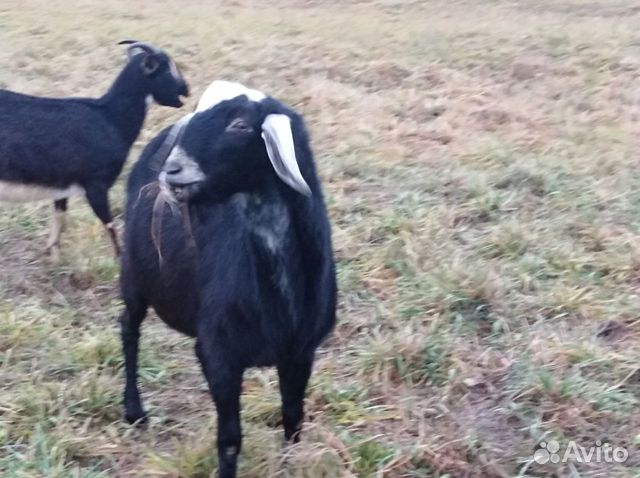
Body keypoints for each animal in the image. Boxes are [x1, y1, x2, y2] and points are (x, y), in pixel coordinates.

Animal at [0, 41, 189, 260]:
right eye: (165, 69)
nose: (186, 89)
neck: (110, 118)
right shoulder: (96, 185)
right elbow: (110, 225)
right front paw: (119, 259)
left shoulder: (62, 187)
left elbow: (59, 216)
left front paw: (53, 255)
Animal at [119, 81, 336, 478]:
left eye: (240, 125)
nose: (172, 169)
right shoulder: (218, 353)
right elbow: (231, 439)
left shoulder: (301, 351)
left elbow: (293, 417)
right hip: (134, 273)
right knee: (129, 325)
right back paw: (134, 411)